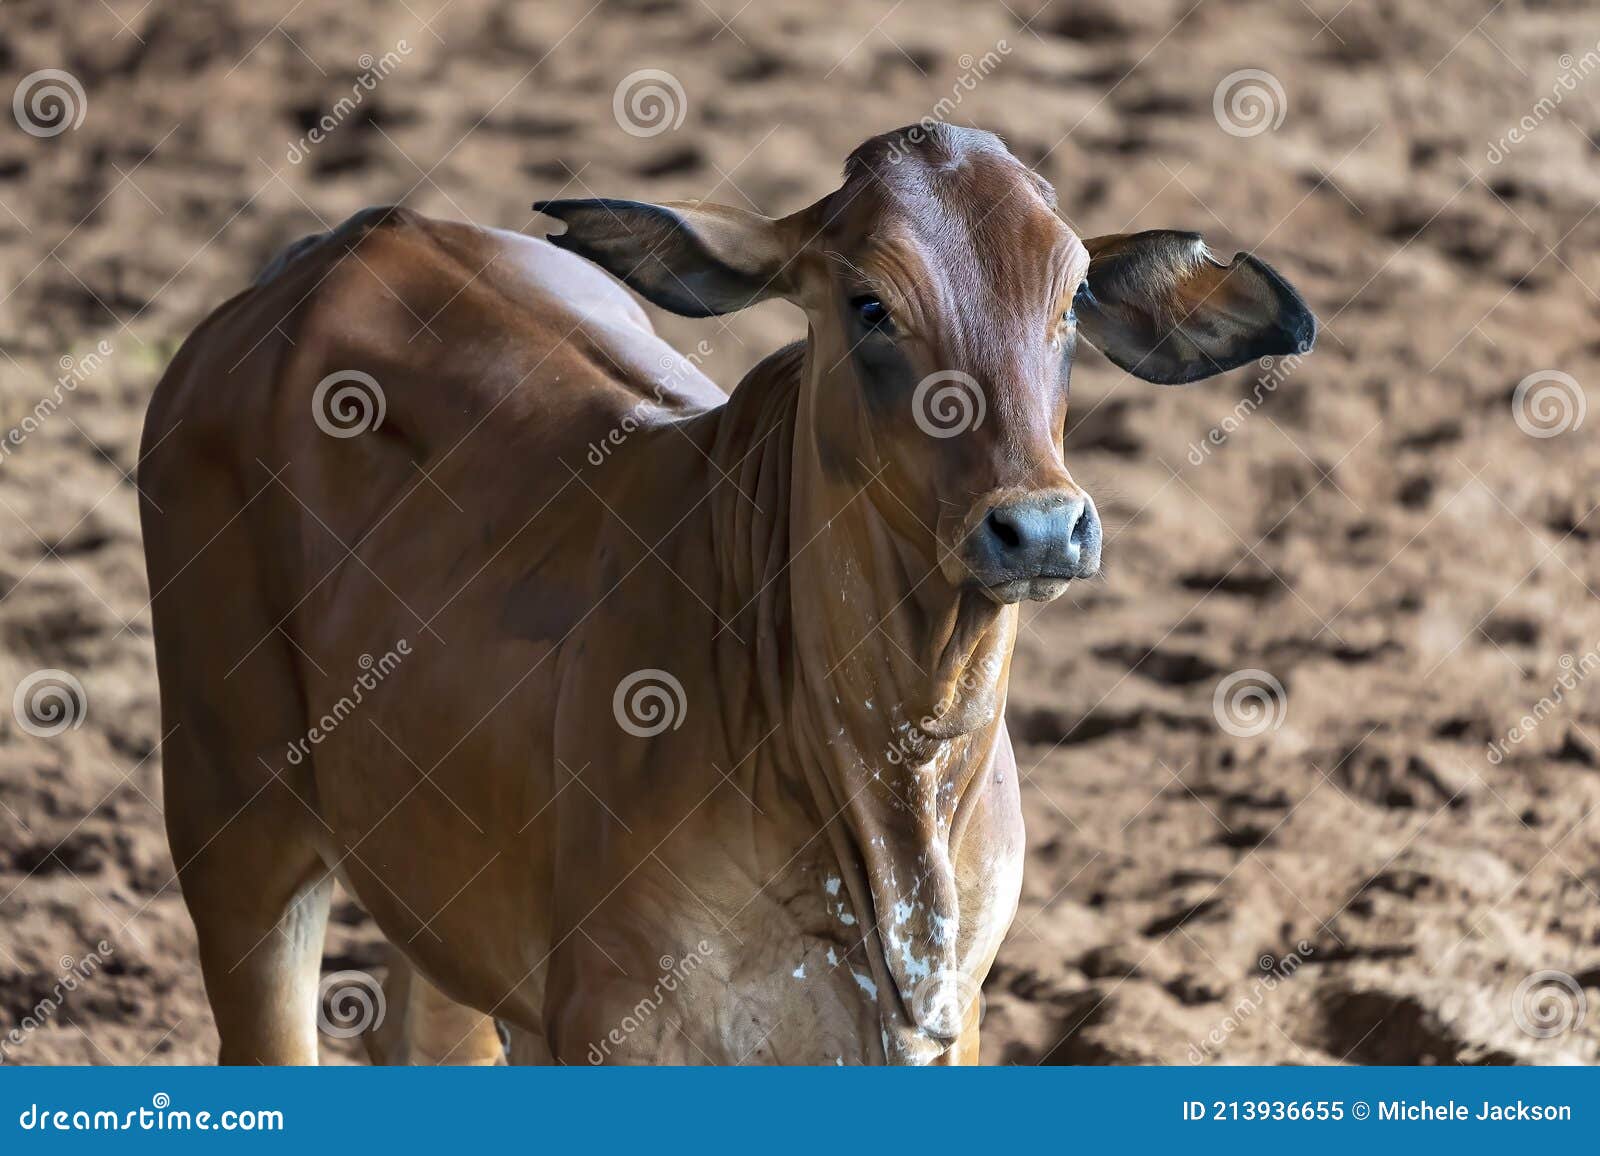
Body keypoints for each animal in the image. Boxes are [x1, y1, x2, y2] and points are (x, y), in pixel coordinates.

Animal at [140, 124, 1314, 1066]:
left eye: (1070, 301)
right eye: (870, 303)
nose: (1038, 526)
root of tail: (335, 250)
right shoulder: (610, 1026)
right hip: (230, 822)